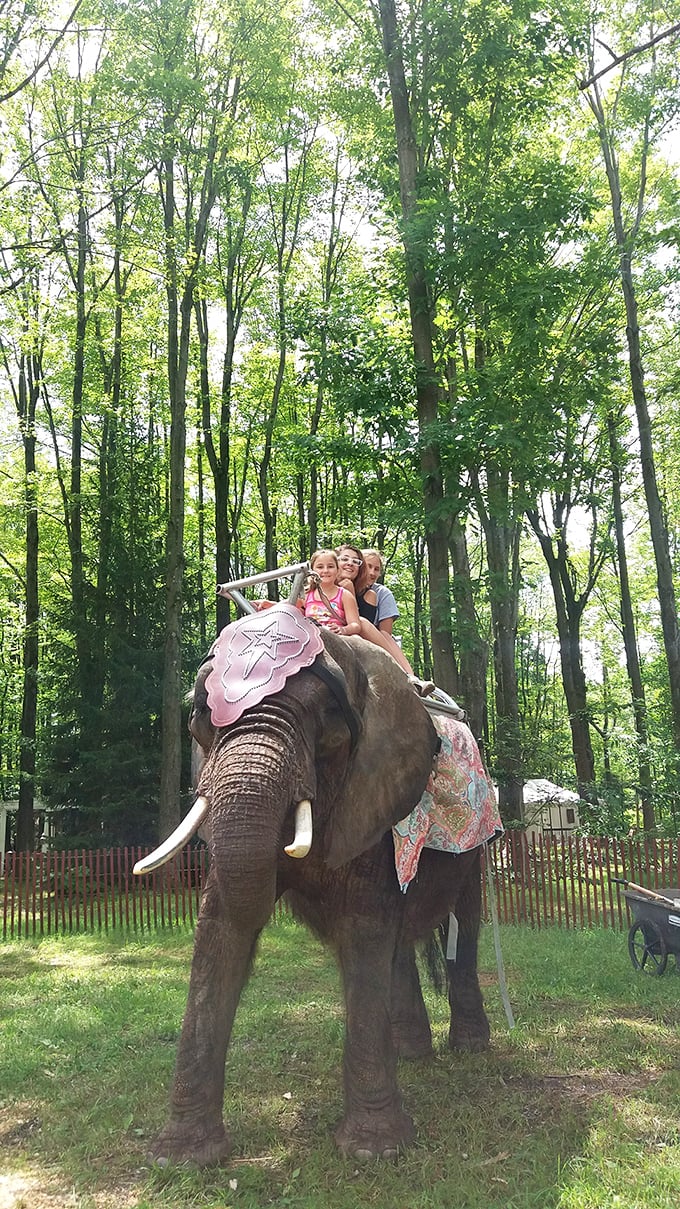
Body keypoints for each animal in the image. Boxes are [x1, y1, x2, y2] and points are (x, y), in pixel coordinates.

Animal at [138, 605, 494, 1166]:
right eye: (201, 718)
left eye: (327, 719)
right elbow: (221, 924)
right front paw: (181, 1159)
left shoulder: (374, 790)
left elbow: (363, 928)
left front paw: (373, 1152)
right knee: (397, 942)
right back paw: (410, 1054)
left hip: (475, 844)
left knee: (462, 924)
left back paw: (469, 1048)